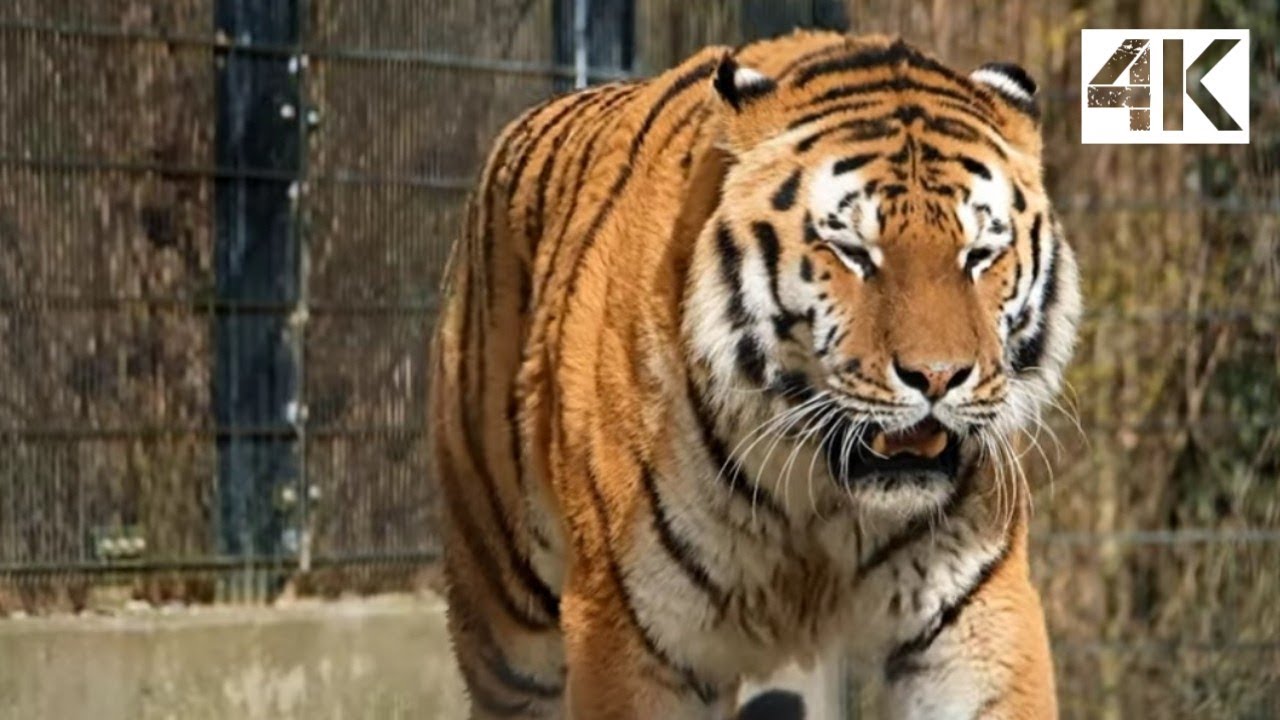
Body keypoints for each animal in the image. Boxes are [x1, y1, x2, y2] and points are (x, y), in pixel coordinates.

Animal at [429, 30, 1081, 720]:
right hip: (508, 621)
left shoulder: (969, 614)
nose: (937, 377)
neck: (817, 499)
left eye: (979, 255)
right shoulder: (632, 633)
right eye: (853, 253)